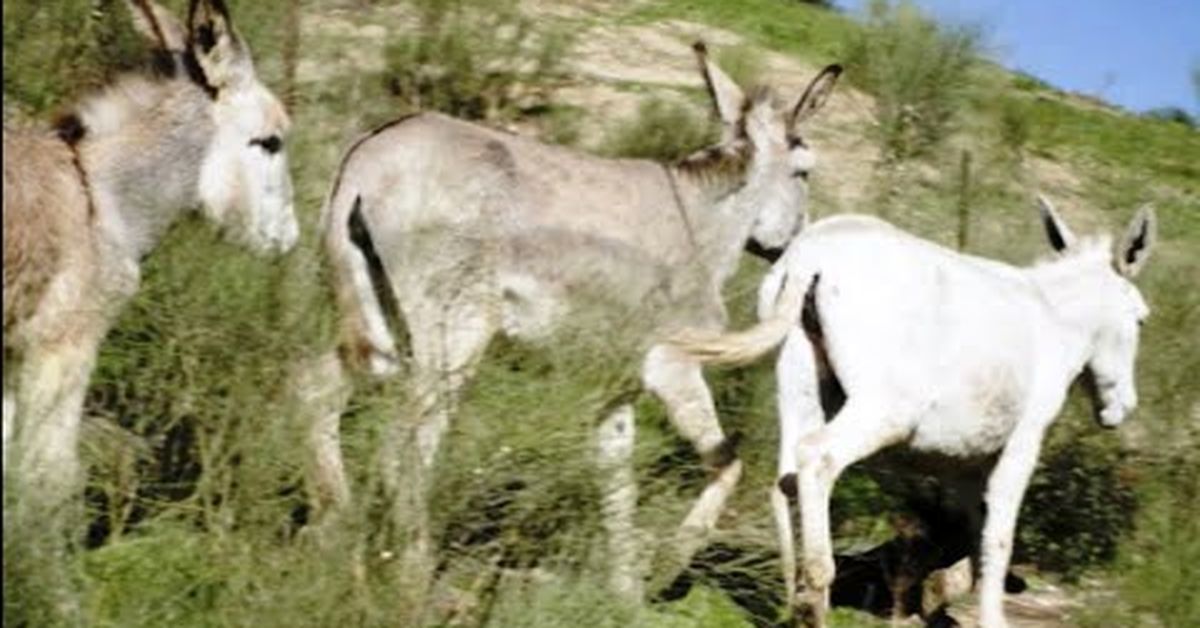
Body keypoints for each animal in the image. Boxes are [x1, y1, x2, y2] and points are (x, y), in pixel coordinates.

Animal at [306, 42, 842, 600]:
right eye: (805, 173)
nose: (794, 244)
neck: (702, 220)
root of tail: (371, 154)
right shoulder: (669, 368)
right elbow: (727, 464)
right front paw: (666, 565)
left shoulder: (617, 387)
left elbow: (617, 483)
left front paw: (625, 594)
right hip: (455, 334)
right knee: (405, 446)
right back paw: (412, 577)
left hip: (379, 323)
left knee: (317, 391)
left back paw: (334, 532)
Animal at [668, 196, 1155, 627]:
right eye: (1141, 319)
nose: (1122, 409)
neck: (1055, 320)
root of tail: (811, 257)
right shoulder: (1023, 442)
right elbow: (998, 537)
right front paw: (986, 614)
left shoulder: (966, 463)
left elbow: (972, 531)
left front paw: (942, 592)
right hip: (884, 409)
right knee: (817, 458)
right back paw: (813, 600)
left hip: (798, 381)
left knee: (785, 480)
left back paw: (795, 598)